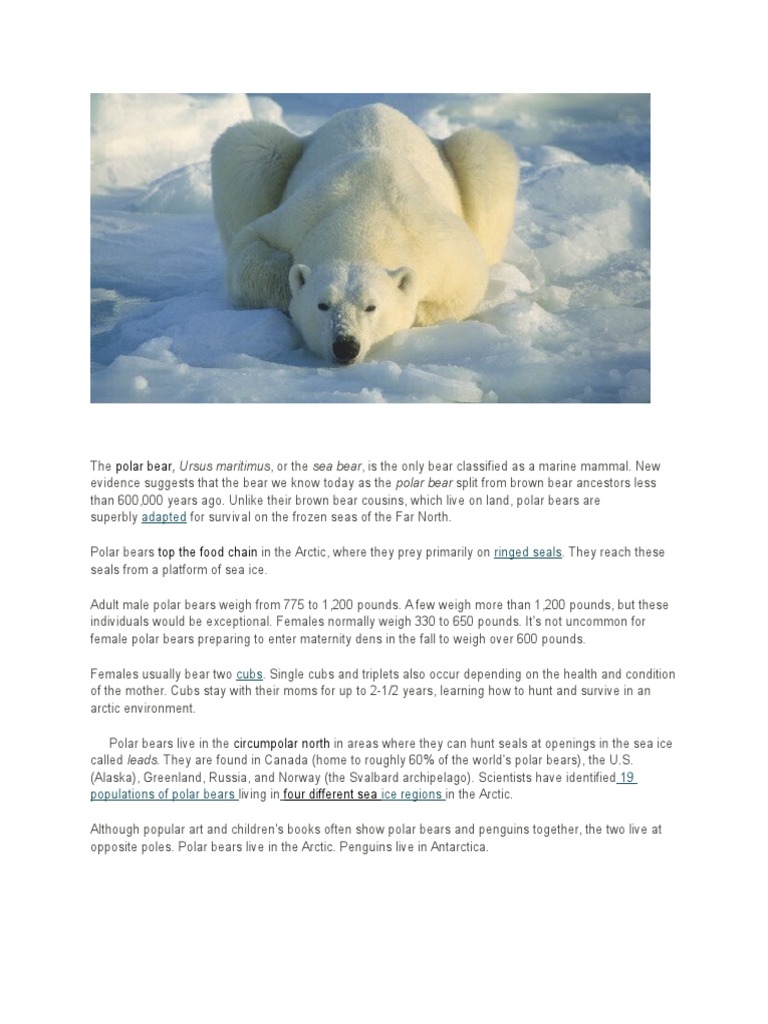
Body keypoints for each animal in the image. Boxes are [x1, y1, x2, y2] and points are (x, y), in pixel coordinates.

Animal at [211, 103, 519, 365]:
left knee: (484, 156)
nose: (345, 345)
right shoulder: (301, 216)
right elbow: (248, 248)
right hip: (272, 154)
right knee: (247, 147)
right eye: (323, 304)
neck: (365, 216)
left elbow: (466, 282)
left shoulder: (437, 241)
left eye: (371, 307)